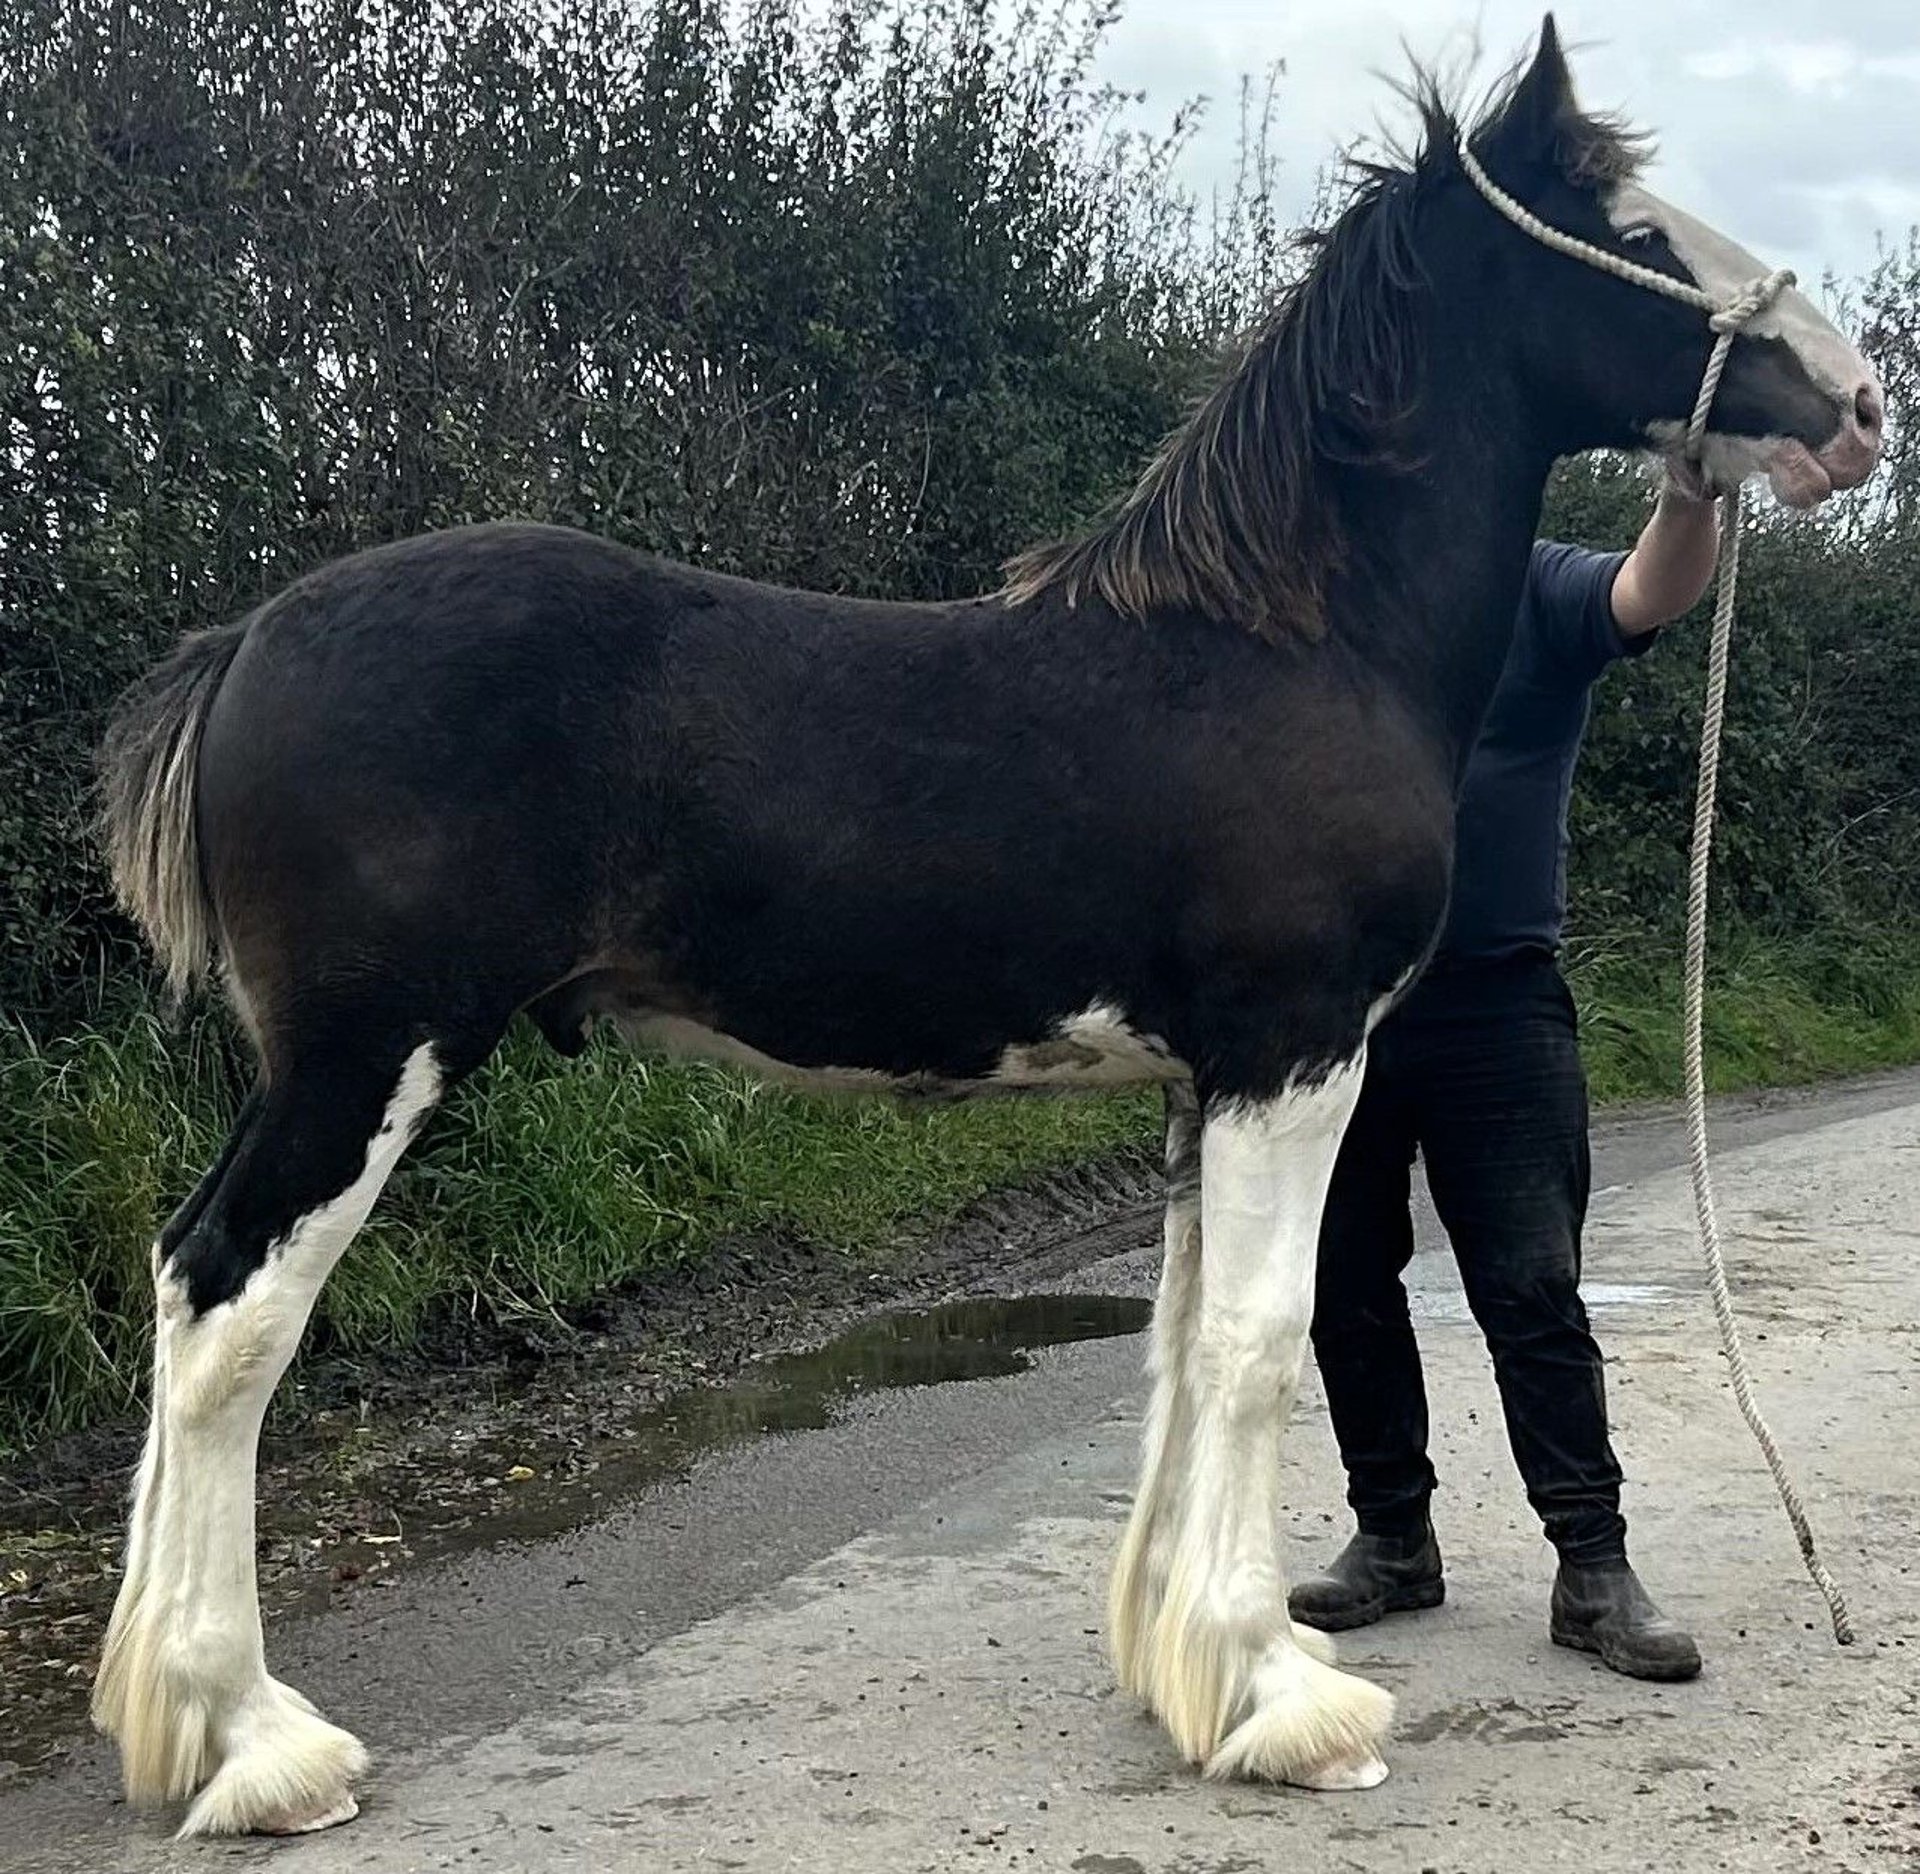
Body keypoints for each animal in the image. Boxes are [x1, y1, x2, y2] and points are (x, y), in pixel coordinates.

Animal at [91, 16, 1880, 1838]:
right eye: (1634, 225)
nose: (1860, 401)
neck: (1298, 642)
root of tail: (248, 641)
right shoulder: (1293, 1056)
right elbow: (1258, 1343)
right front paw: (1285, 1705)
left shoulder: (1200, 1084)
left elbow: (1182, 1342)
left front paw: (1189, 1666)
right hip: (365, 1058)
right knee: (230, 1314)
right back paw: (256, 1742)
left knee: (179, 1287)